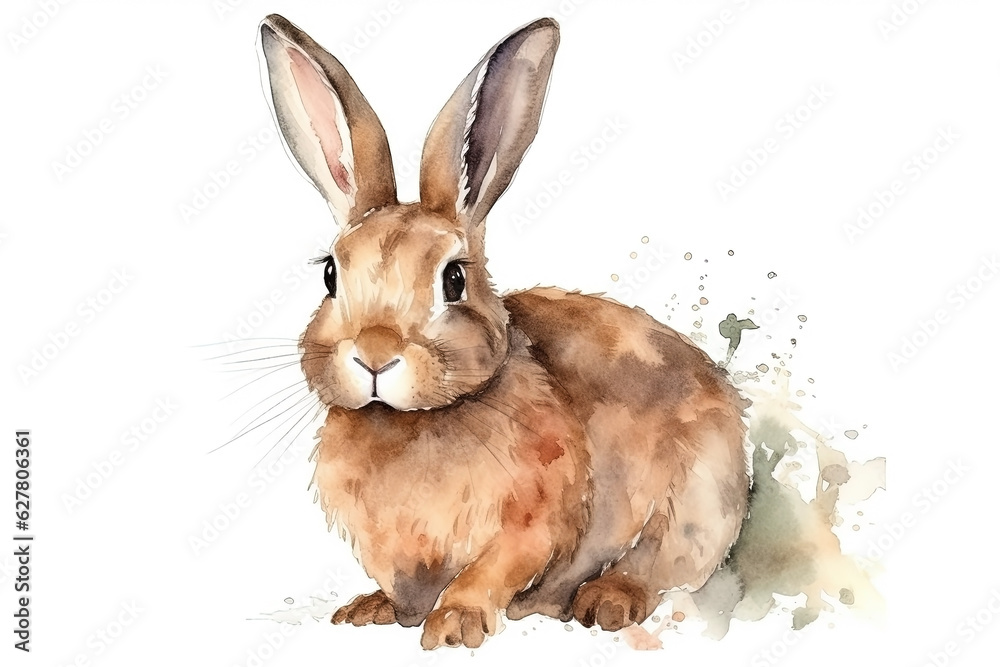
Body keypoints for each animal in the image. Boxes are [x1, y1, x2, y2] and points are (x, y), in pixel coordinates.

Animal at [257, 13, 750, 650]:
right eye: (329, 275)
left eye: (454, 279)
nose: (374, 354)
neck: (411, 423)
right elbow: (402, 588)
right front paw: (372, 610)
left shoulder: (534, 521)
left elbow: (493, 569)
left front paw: (453, 626)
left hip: (694, 507)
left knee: (657, 569)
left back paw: (605, 602)